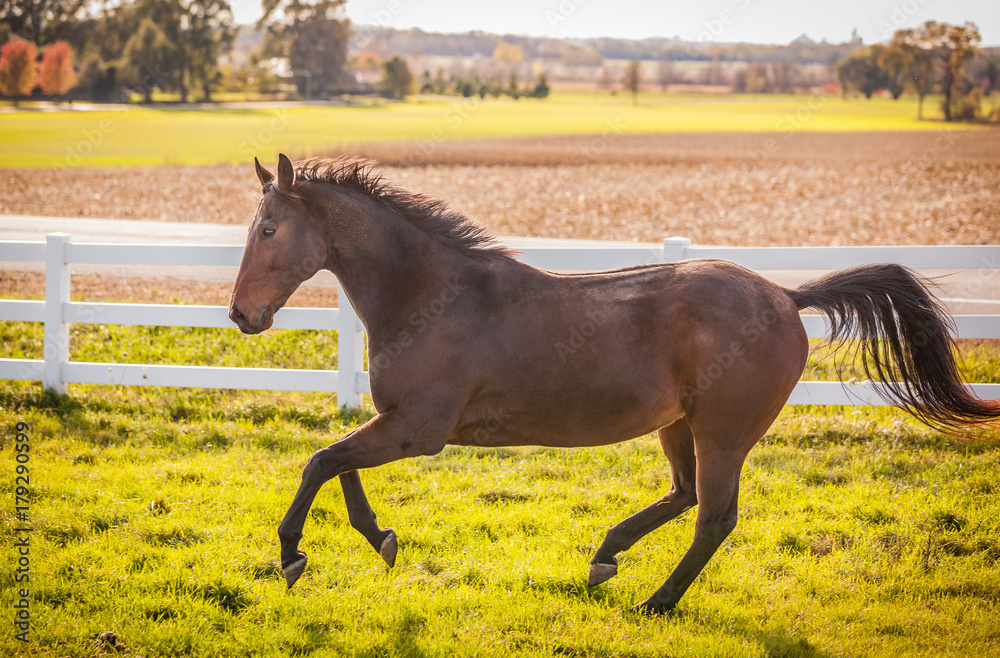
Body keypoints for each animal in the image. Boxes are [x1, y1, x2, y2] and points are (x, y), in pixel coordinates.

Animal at [229, 154, 999, 614]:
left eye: (268, 230)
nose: (241, 314)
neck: (433, 296)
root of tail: (786, 295)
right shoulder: (397, 422)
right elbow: (340, 465)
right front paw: (380, 537)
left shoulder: (419, 430)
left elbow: (321, 460)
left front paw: (291, 555)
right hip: (678, 425)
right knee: (684, 496)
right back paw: (604, 559)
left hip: (723, 435)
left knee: (714, 516)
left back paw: (656, 601)